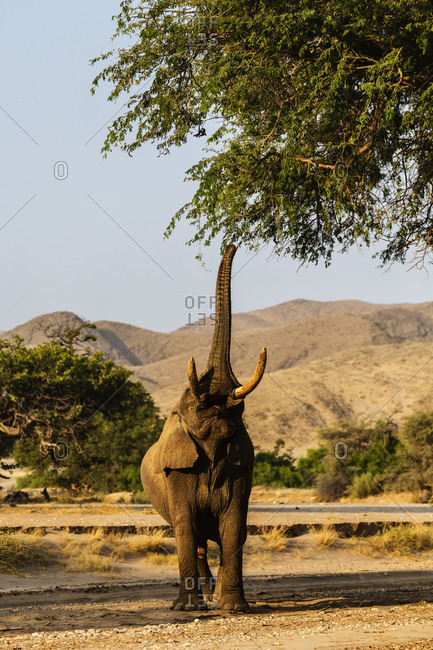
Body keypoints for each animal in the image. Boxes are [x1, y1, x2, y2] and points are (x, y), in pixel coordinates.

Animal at [141, 244, 266, 612]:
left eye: (241, 408)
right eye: (192, 399)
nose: (232, 244)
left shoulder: (240, 466)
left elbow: (233, 526)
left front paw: (235, 609)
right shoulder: (176, 471)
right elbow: (185, 526)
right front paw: (185, 609)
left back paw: (215, 597)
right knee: (195, 538)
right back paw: (201, 599)